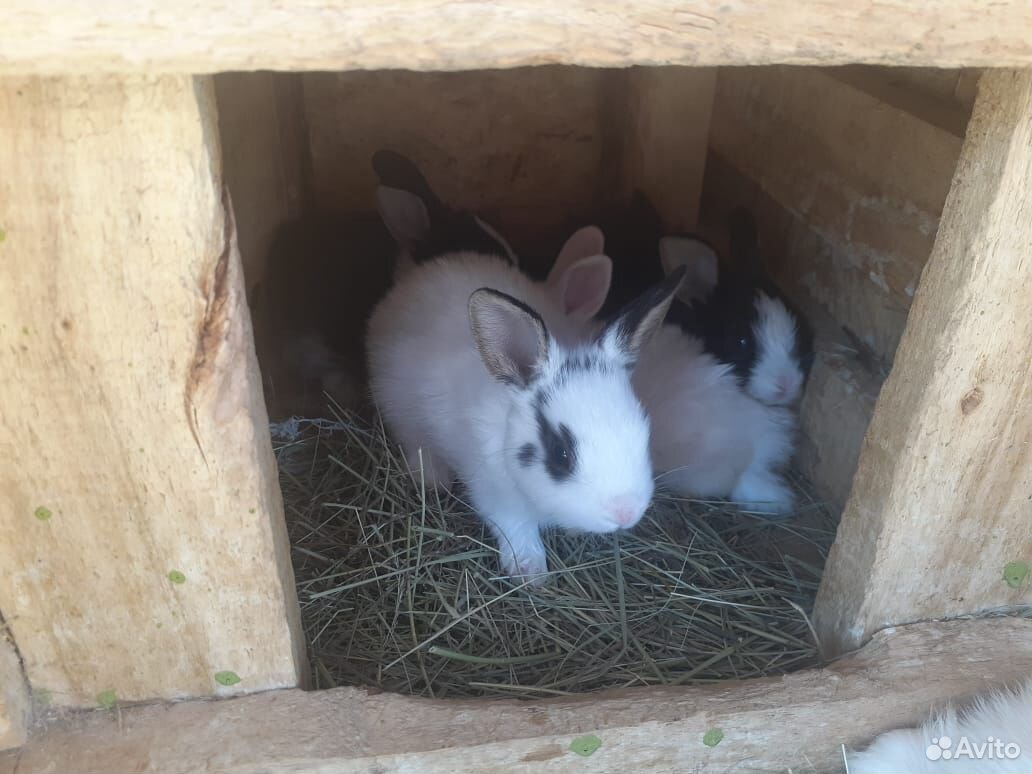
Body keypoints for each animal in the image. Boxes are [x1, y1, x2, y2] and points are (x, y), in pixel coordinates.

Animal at [367, 230, 685, 582]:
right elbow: (517, 530)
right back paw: (432, 480)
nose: (625, 512)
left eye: (644, 435)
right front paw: (531, 574)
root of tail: (411, 278)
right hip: (399, 407)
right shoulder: (496, 496)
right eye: (561, 454)